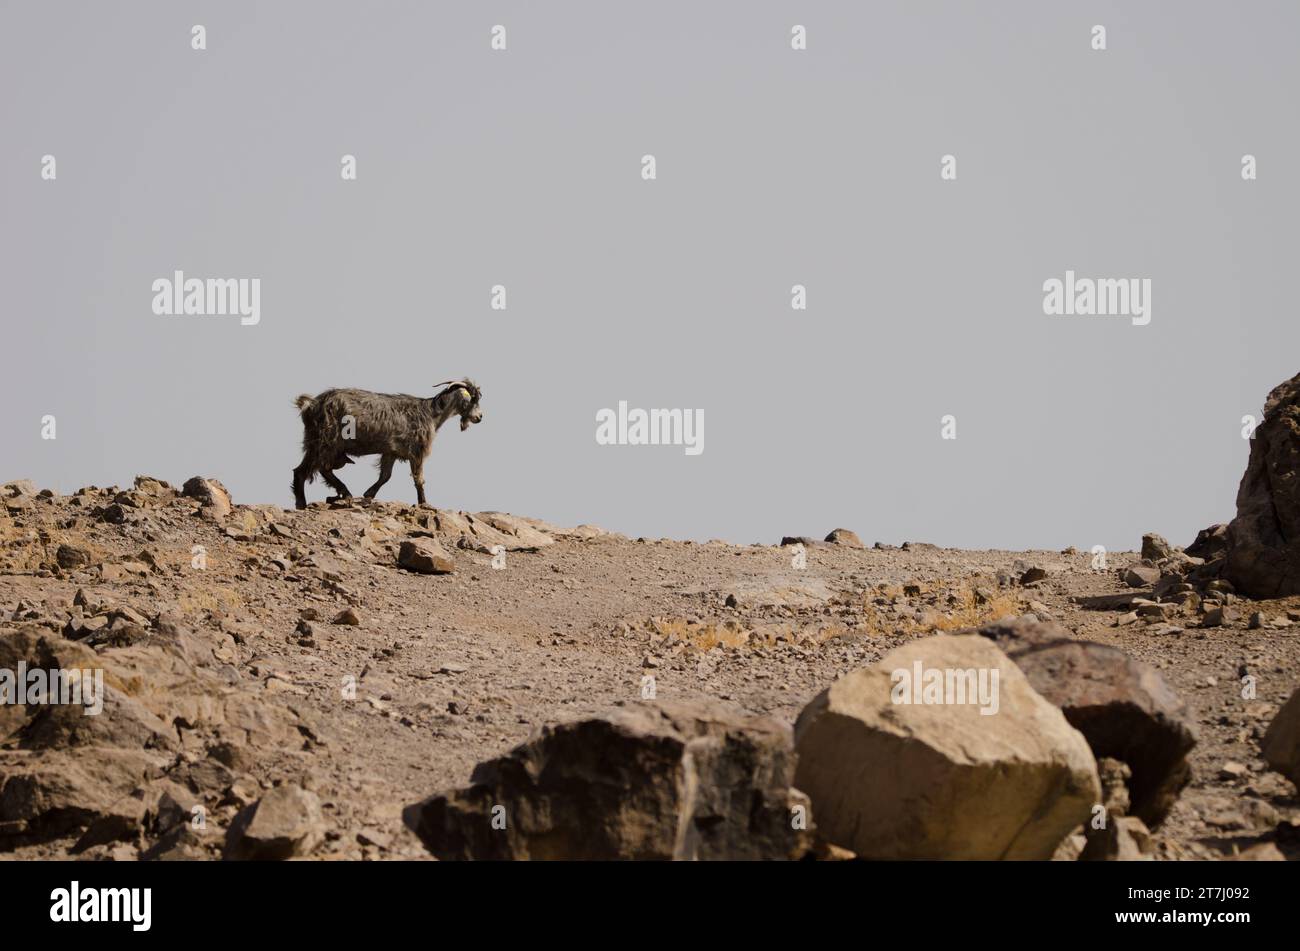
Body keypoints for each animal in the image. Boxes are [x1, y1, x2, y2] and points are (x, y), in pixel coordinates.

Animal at [291, 380, 483, 509]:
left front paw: (368, 495)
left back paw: (304, 502)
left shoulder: (391, 451)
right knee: (320, 468)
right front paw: (424, 503)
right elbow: (419, 479)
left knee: (303, 470)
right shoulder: (417, 451)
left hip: (315, 443)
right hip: (328, 440)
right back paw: (341, 494)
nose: (480, 417)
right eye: (472, 399)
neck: (431, 413)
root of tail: (310, 404)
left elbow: (385, 476)